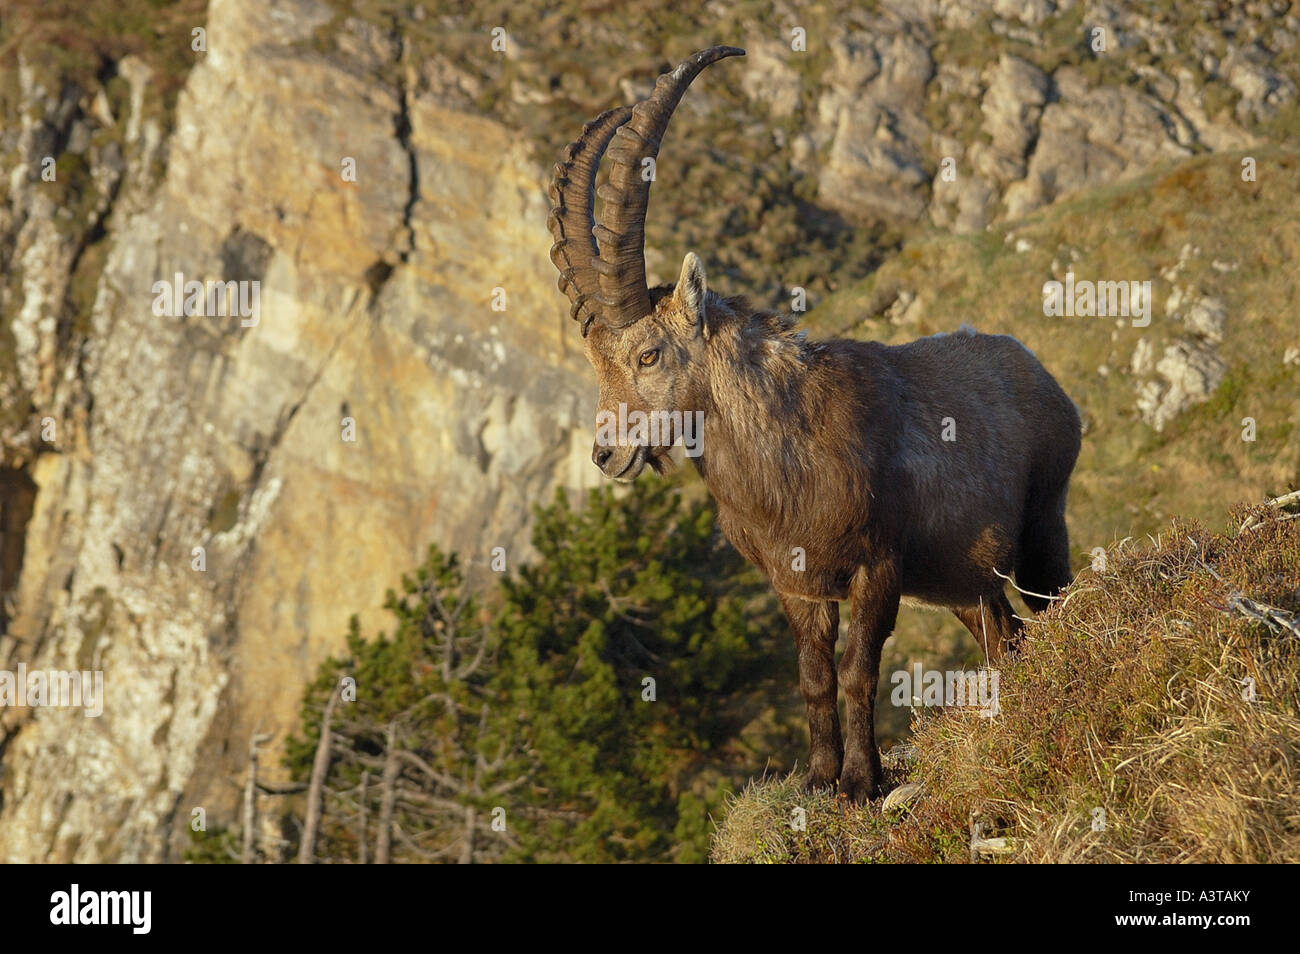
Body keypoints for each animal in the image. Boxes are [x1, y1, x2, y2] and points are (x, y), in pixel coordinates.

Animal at [546, 46, 1081, 802]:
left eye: (648, 353)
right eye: (596, 361)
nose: (606, 454)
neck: (784, 461)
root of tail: (1039, 372)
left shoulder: (876, 568)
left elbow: (858, 672)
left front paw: (861, 782)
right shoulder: (796, 583)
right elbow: (813, 676)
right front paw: (820, 778)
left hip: (1039, 526)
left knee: (1054, 603)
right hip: (960, 582)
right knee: (1004, 635)